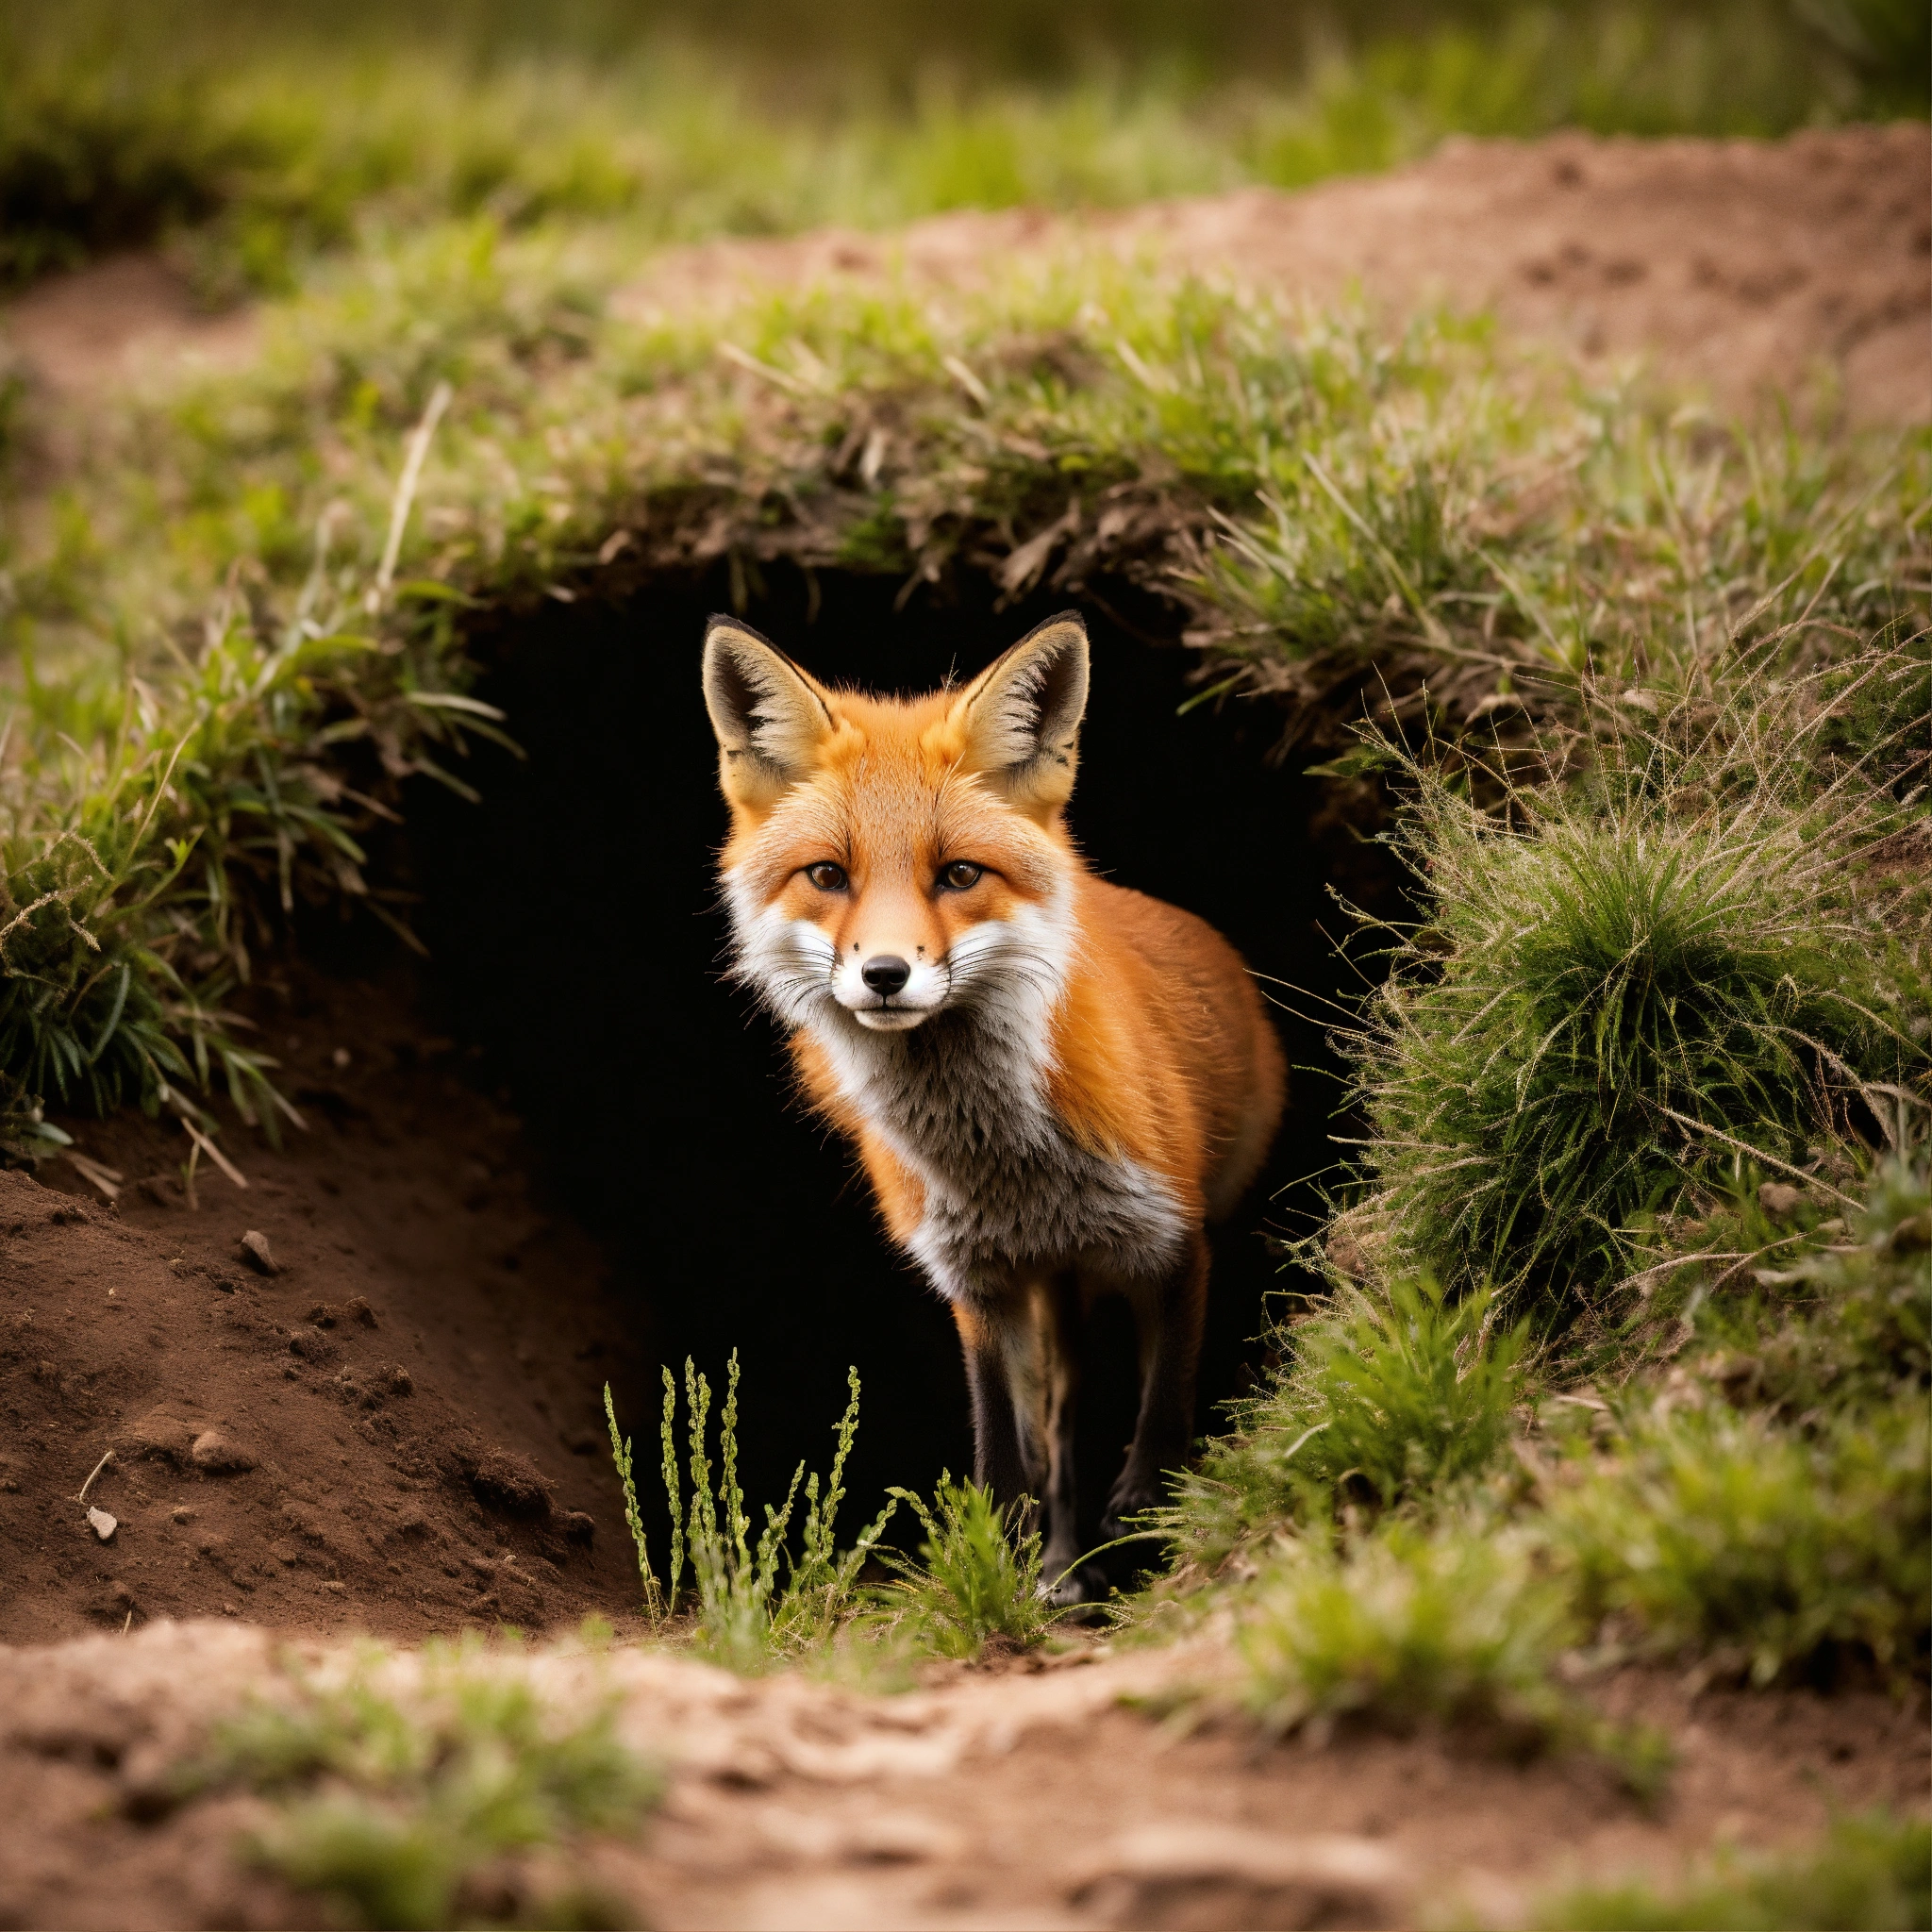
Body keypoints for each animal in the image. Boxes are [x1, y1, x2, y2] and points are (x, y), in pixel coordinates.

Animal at [701, 608, 1284, 1597]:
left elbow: (1162, 1416)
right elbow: (1006, 1461)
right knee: (1058, 1428)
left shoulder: (1176, 1246)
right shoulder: (978, 1284)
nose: (885, 974)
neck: (1010, 1171)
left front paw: (1145, 1521)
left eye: (960, 875)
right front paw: (1023, 1567)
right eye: (828, 876)